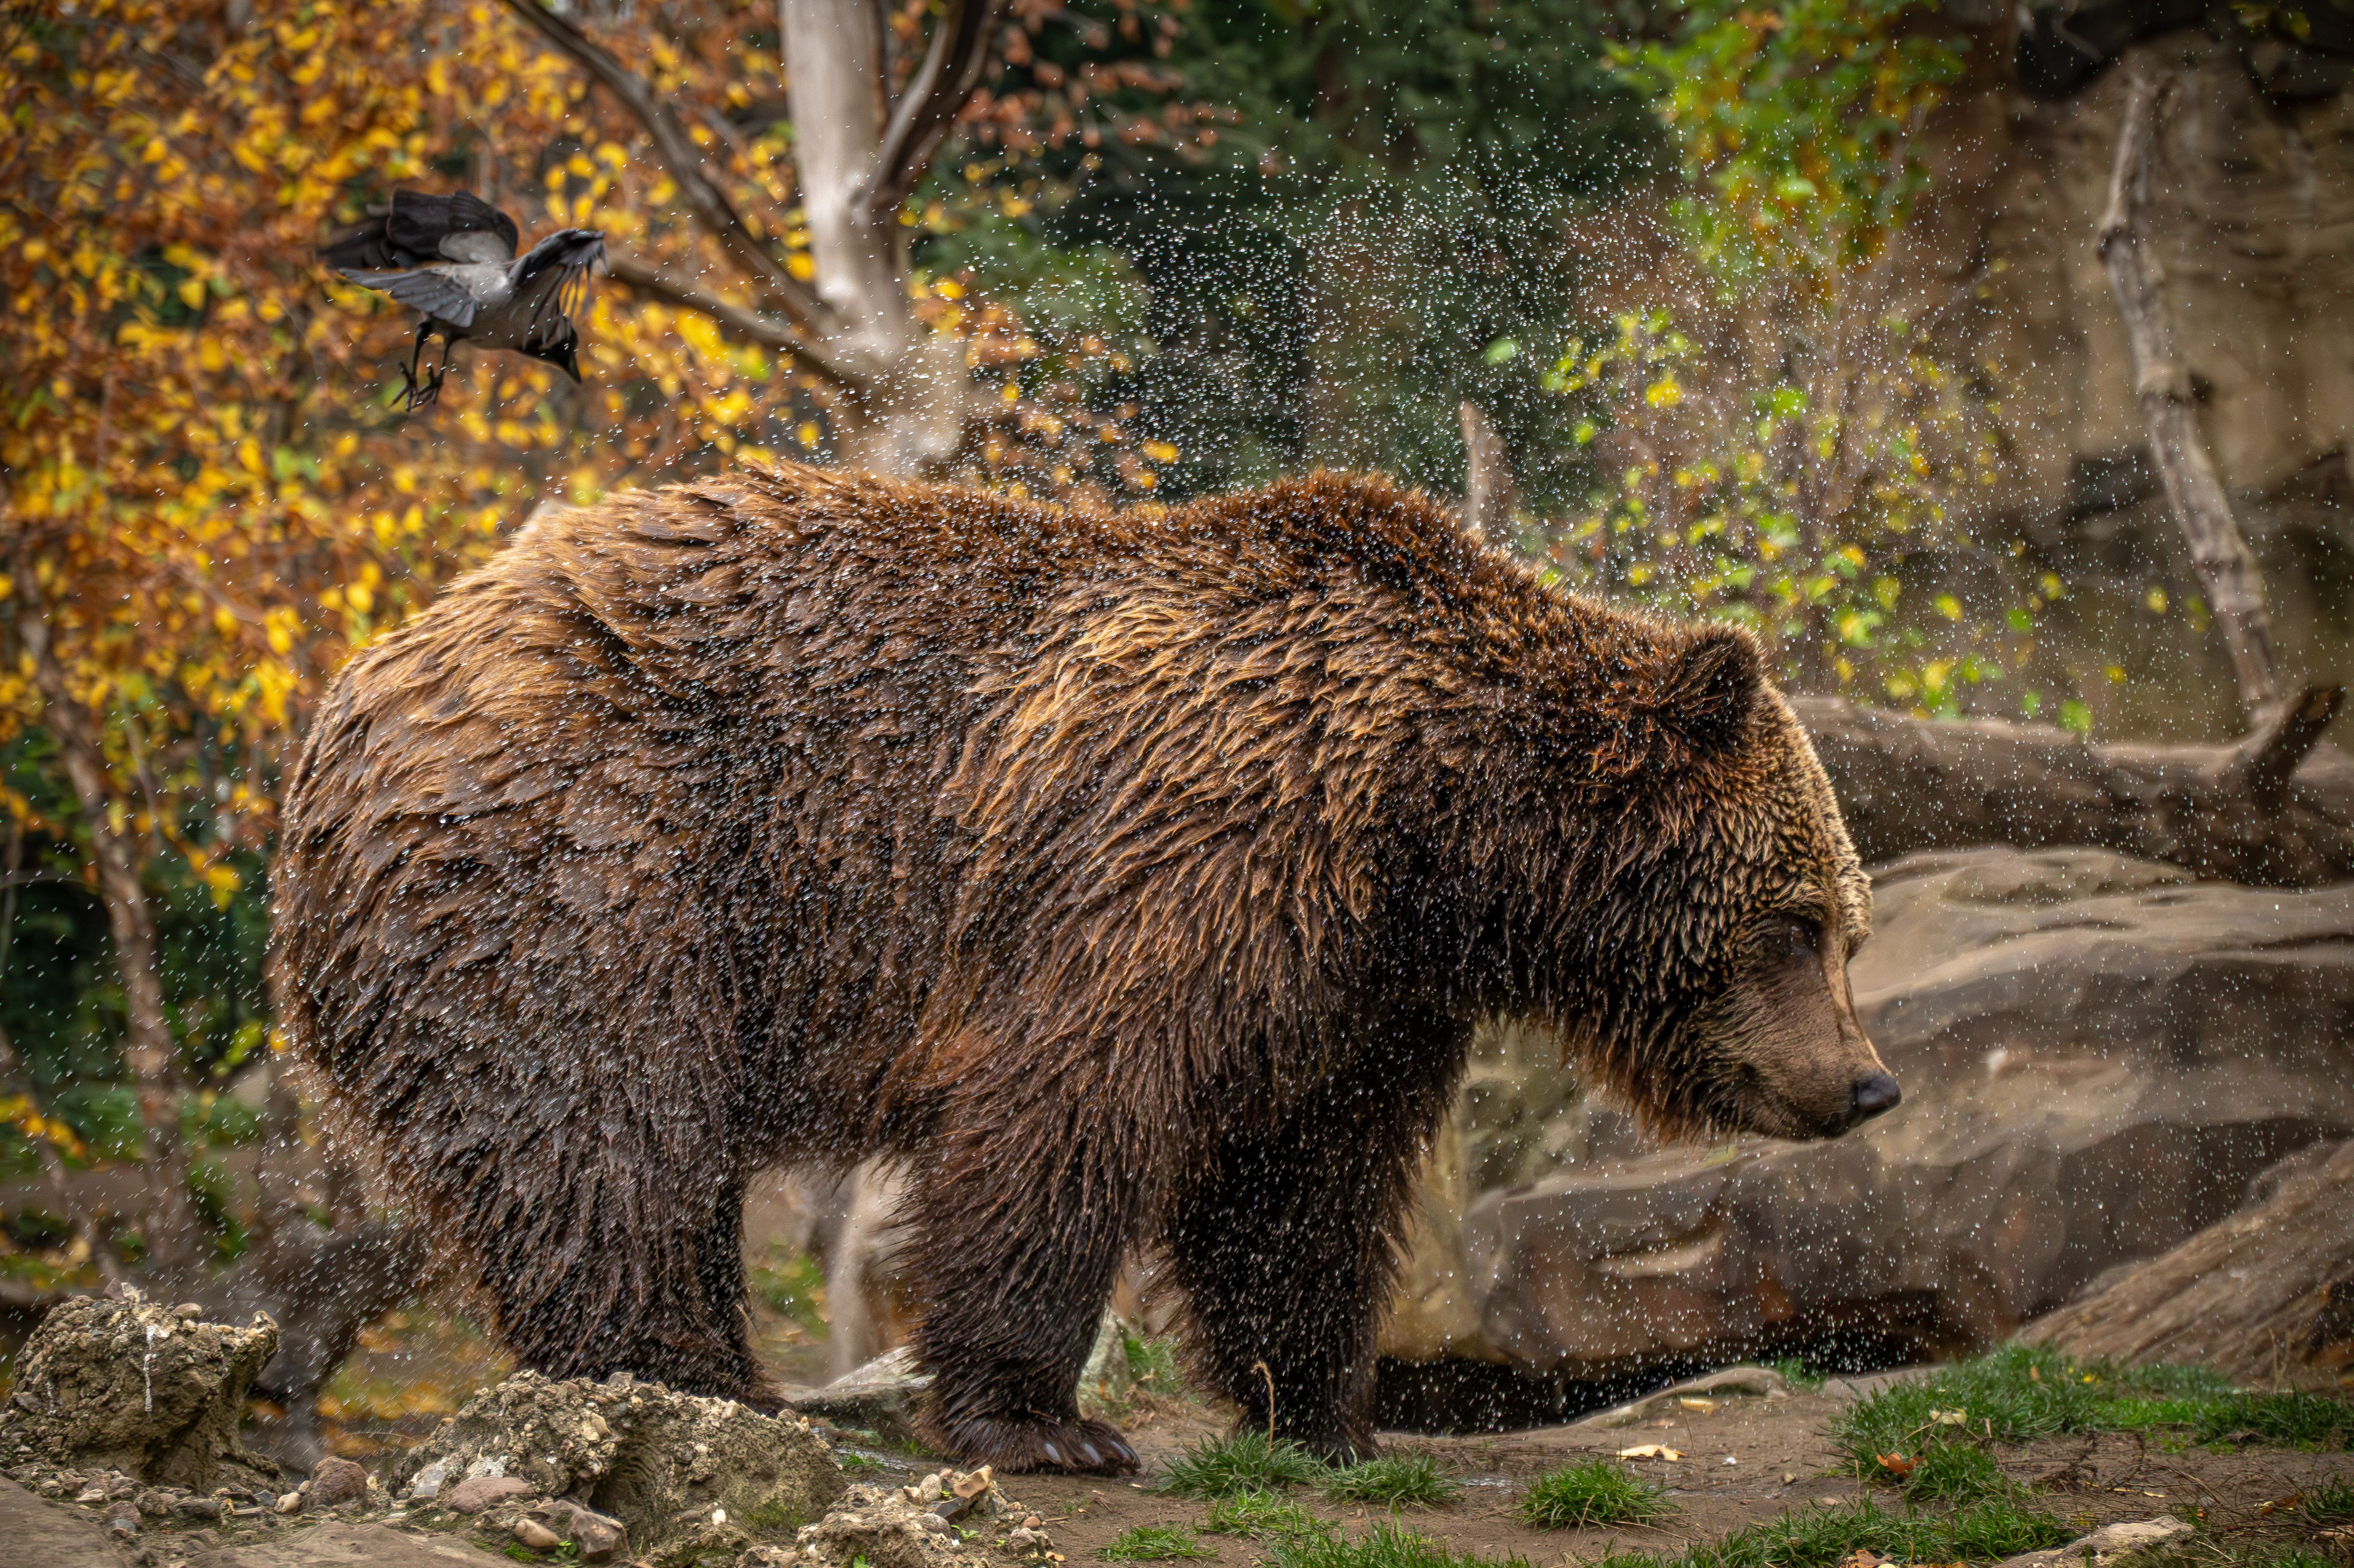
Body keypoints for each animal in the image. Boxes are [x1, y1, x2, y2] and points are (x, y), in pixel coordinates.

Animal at [268, 465, 1896, 1476]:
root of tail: (357, 683)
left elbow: (1299, 1183)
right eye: (1799, 918)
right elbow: (1061, 1109)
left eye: (1849, 923)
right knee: (609, 1130)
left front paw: (1323, 1406)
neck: (1432, 825)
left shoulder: (1357, 983)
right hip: (596, 854)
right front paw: (1047, 1420)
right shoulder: (1182, 855)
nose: (1866, 1082)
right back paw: (690, 1377)